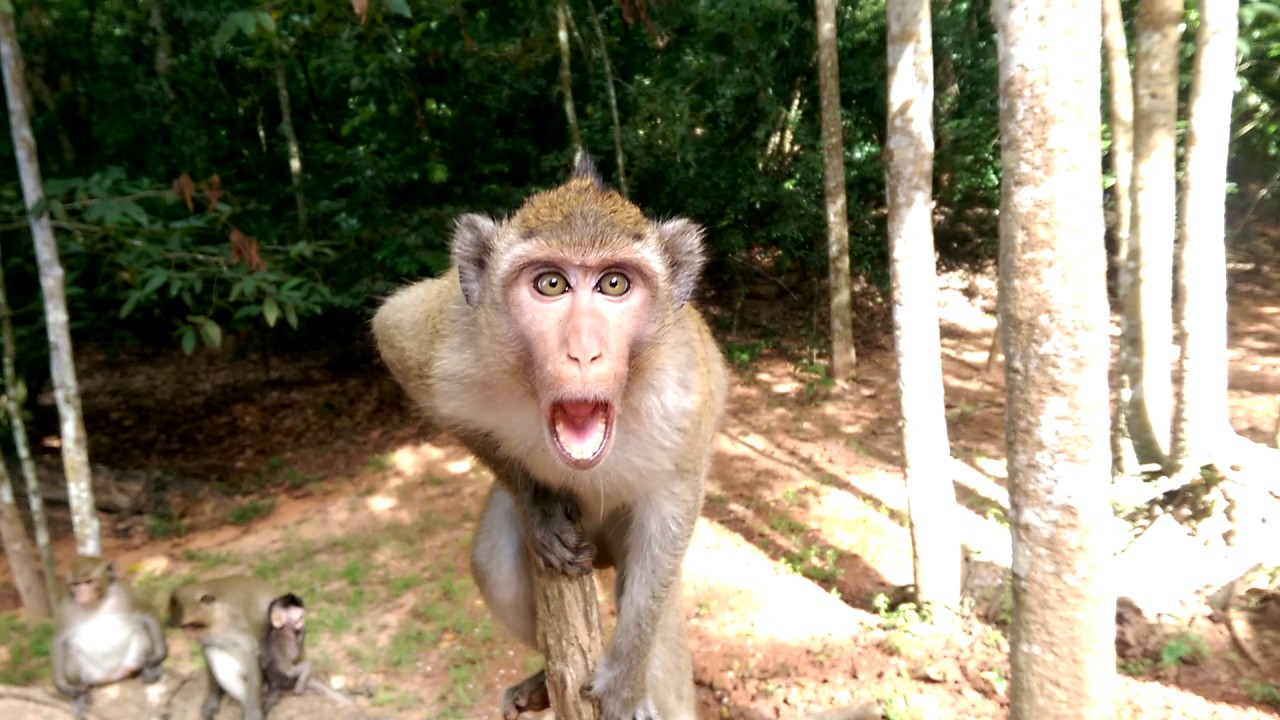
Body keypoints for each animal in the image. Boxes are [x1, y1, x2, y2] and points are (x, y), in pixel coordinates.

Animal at [51, 555, 168, 719]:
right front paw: (63, 686)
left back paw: (145, 669)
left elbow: (147, 612)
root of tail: (113, 677)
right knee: (72, 651)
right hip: (91, 675)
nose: (81, 593)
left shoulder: (124, 591)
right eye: (76, 584)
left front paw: (158, 656)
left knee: (139, 629)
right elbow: (59, 641)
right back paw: (82, 693)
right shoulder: (65, 608)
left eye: (89, 581)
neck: (96, 601)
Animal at [169, 576, 280, 720]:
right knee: (214, 653)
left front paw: (253, 712)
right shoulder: (207, 638)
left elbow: (252, 652)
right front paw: (212, 700)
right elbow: (207, 652)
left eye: (194, 625)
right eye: (187, 626)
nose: (189, 632)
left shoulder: (234, 625)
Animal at [372, 152, 728, 720]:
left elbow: (675, 502)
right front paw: (540, 506)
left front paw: (624, 685)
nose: (583, 352)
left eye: (614, 284)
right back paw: (542, 676)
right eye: (551, 285)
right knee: (494, 563)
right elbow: (393, 335)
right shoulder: (448, 340)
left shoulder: (686, 397)